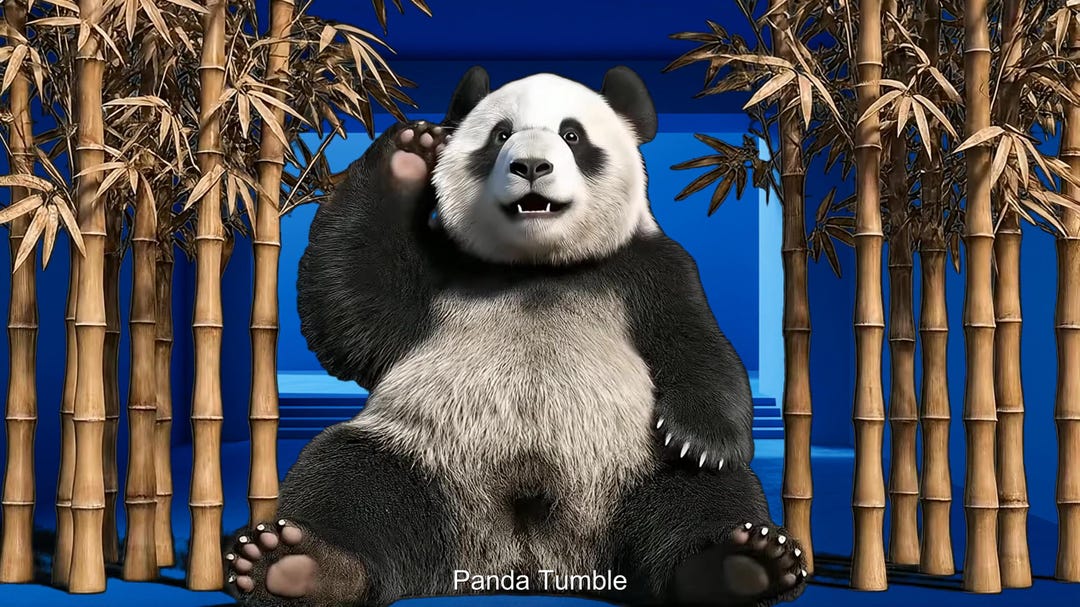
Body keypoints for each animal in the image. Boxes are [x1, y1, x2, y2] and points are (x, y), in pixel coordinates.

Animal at [224, 66, 808, 607]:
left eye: (572, 134)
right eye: (500, 134)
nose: (530, 166)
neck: (537, 267)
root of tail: (525, 560)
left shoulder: (653, 270)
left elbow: (697, 344)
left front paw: (698, 438)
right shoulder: (447, 271)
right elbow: (354, 317)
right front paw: (408, 155)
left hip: (630, 464)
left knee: (702, 496)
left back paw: (742, 564)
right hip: (422, 454)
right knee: (348, 479)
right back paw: (302, 567)